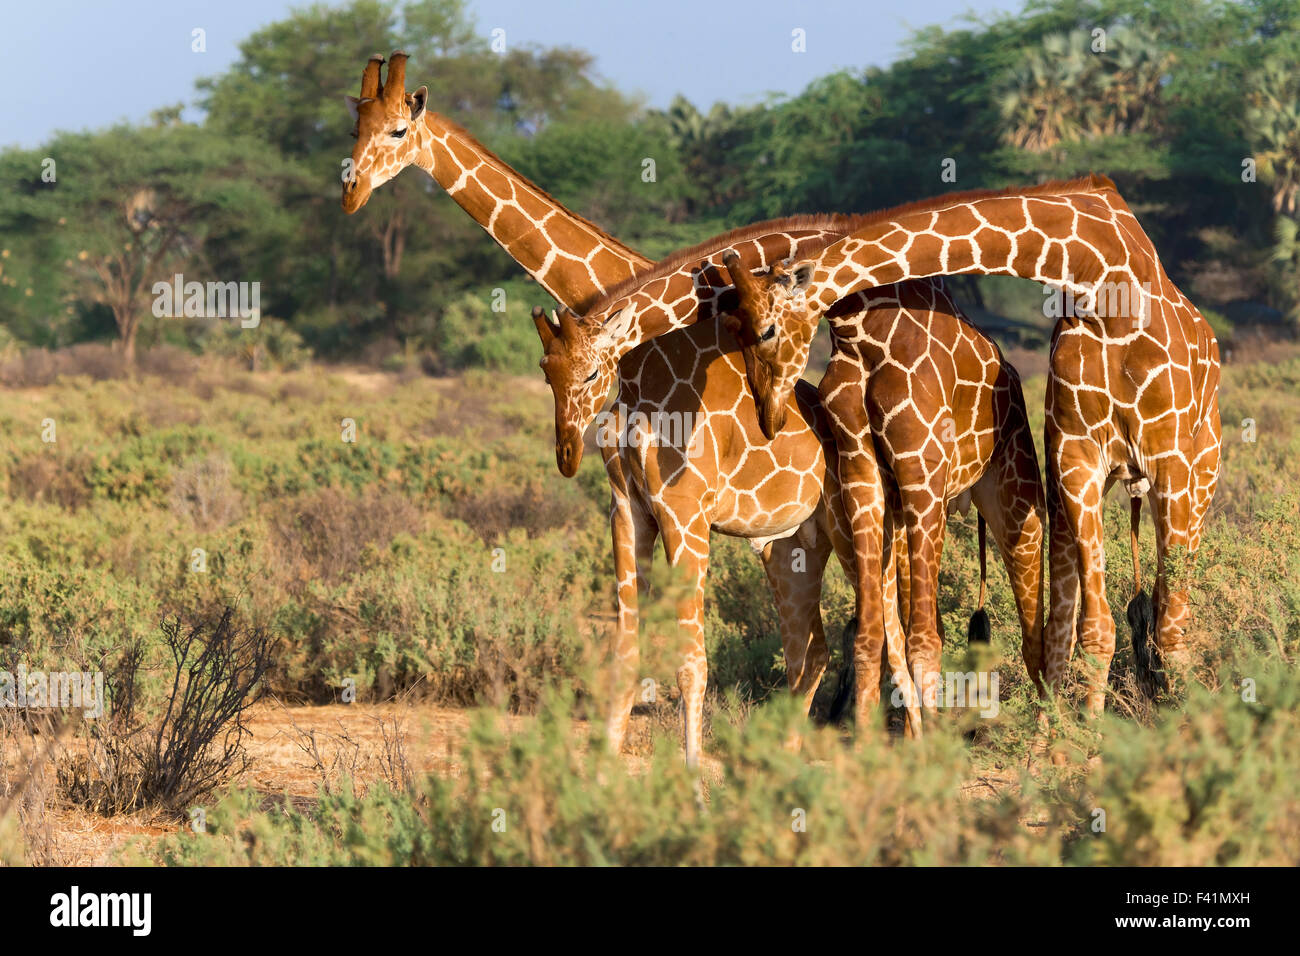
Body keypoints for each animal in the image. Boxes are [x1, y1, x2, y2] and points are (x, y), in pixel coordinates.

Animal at [340, 53, 919, 762]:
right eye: (355, 125)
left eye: (398, 130)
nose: (350, 192)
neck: (643, 348)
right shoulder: (627, 507)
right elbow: (624, 655)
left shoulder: (685, 511)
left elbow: (692, 661)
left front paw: (690, 778)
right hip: (786, 542)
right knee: (808, 647)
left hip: (861, 525)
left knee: (888, 639)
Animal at [724, 175, 1221, 717]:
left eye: (766, 331)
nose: (769, 417)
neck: (1099, 276)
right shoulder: (1075, 454)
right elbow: (1093, 628)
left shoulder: (1166, 455)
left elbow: (1168, 623)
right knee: (1063, 626)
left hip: (1190, 473)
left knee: (1163, 613)